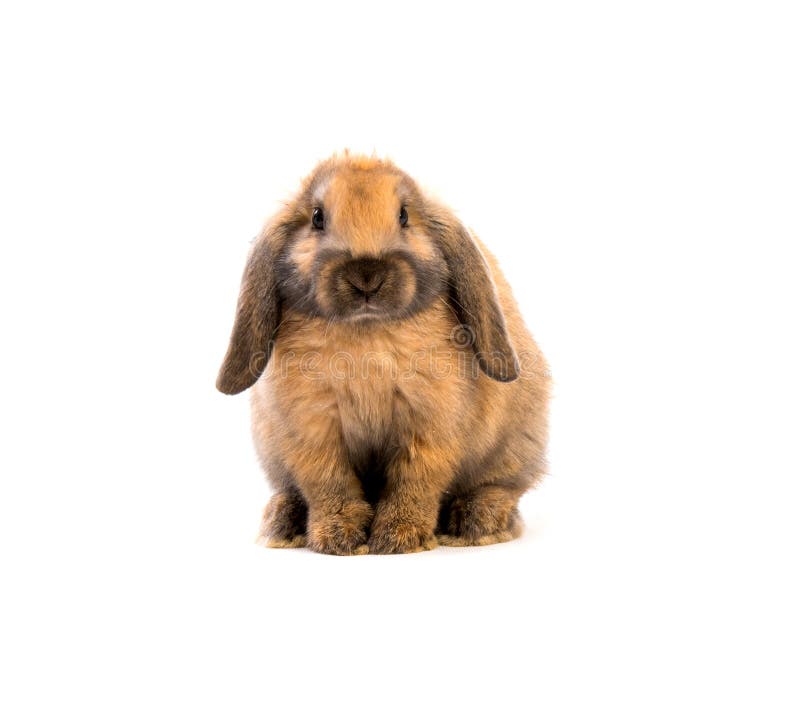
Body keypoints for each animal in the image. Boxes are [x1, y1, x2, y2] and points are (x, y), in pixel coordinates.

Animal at [216, 153, 550, 555]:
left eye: (404, 215)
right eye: (317, 217)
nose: (367, 276)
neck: (366, 333)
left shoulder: (429, 425)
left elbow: (414, 482)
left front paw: (398, 538)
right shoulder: (312, 428)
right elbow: (329, 485)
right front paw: (338, 539)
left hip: (511, 447)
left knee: (502, 486)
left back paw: (477, 523)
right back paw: (282, 524)